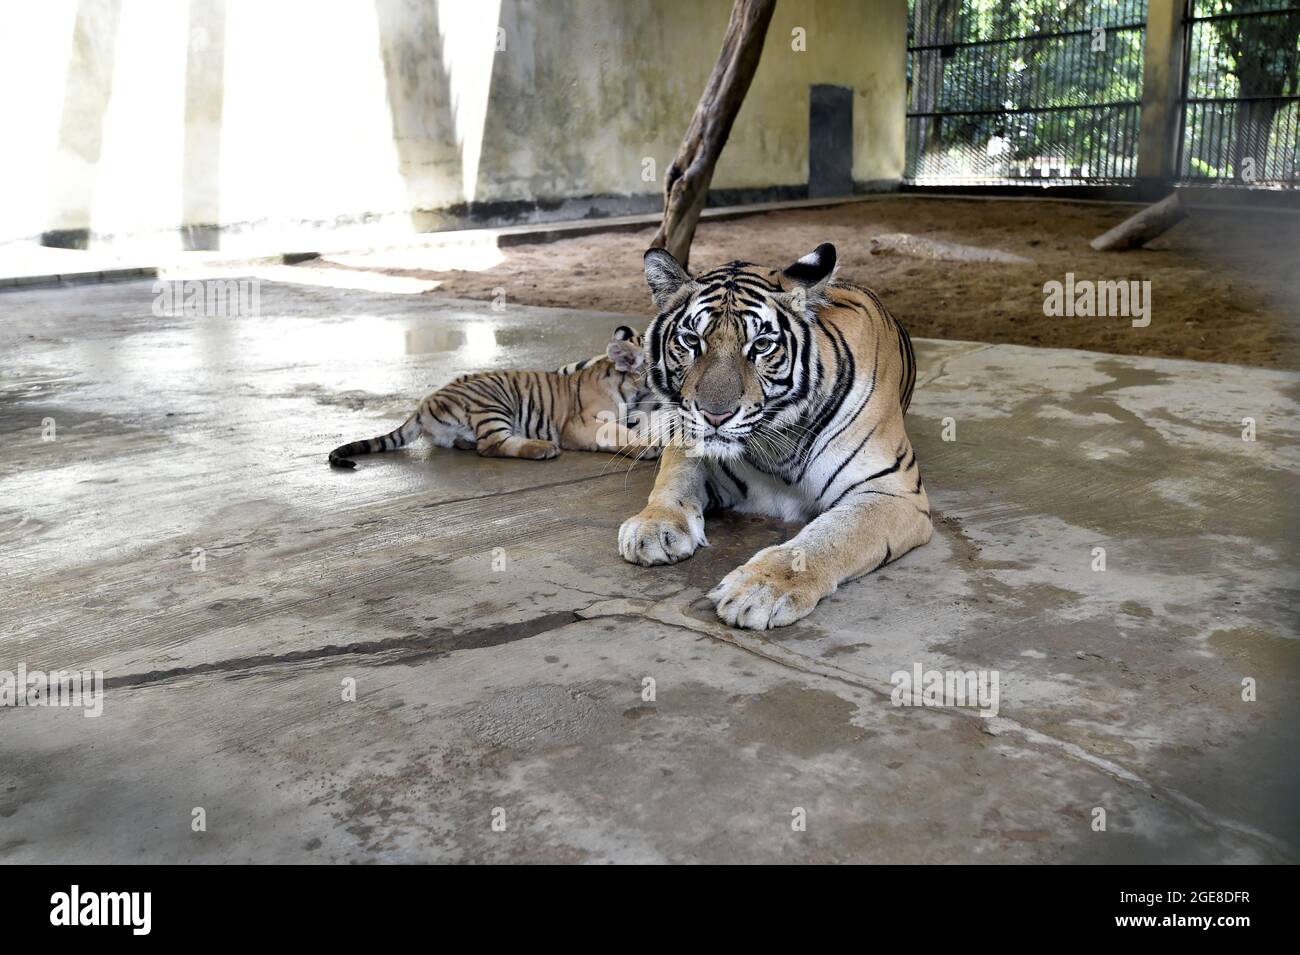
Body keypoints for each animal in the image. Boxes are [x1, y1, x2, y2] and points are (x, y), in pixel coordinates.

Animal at [328, 325, 657, 468]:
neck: (633, 392)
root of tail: (422, 406)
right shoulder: (579, 425)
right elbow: (616, 432)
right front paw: (645, 447)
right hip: (493, 402)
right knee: (491, 445)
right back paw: (542, 448)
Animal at [617, 242, 932, 630]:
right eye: (691, 341)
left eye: (762, 345)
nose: (715, 414)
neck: (776, 444)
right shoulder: (691, 444)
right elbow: (675, 477)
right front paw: (654, 525)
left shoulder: (892, 491)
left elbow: (830, 537)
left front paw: (760, 589)